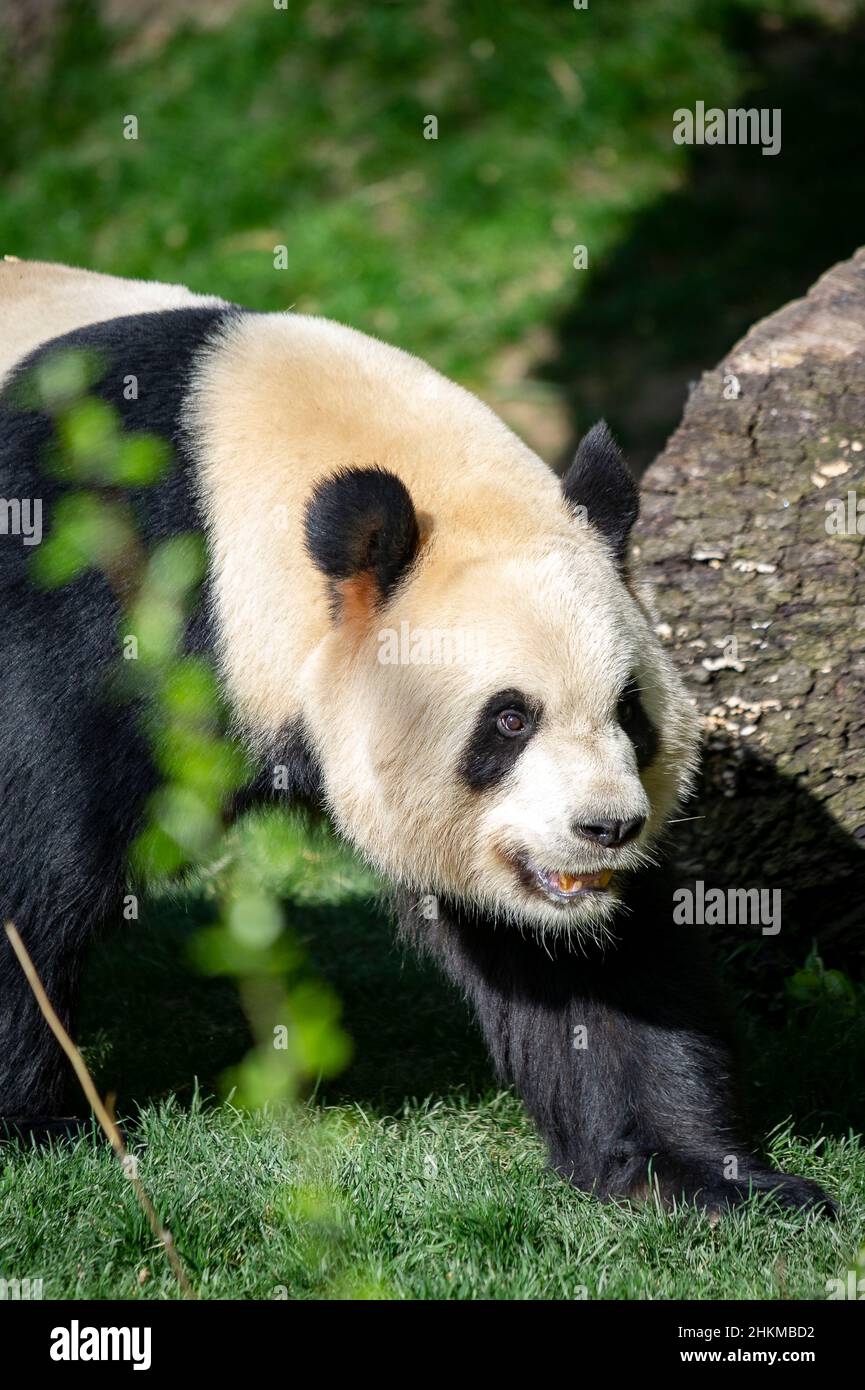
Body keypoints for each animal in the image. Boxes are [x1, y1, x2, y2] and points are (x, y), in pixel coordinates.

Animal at [0, 261, 832, 1215]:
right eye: (508, 720)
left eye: (629, 712)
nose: (606, 829)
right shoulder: (82, 587)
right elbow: (38, 863)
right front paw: (40, 1126)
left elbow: (597, 968)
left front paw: (699, 1173)